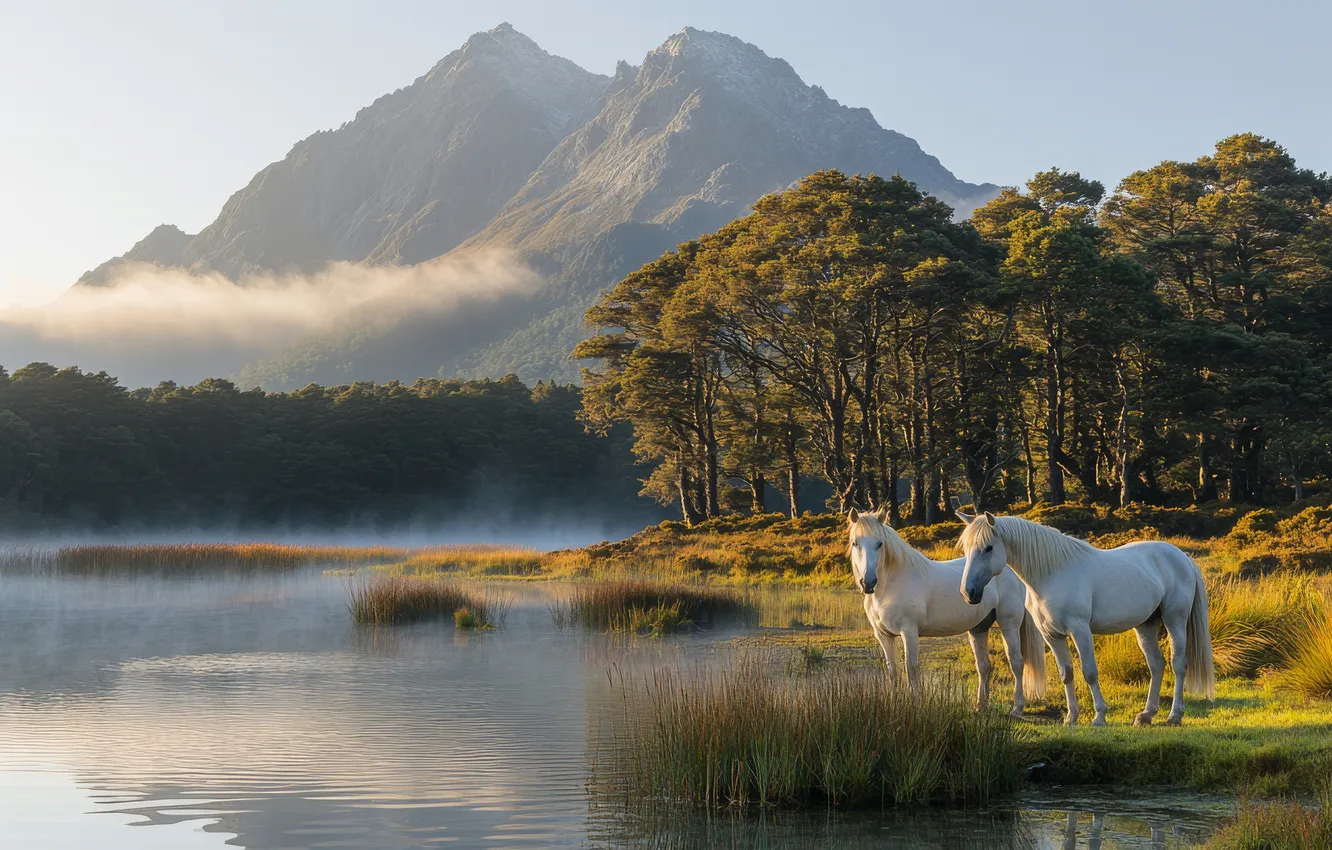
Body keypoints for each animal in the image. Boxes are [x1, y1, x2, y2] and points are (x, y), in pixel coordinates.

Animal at [848, 507, 1045, 717]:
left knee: (1016, 662)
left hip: (1009, 624)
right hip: (979, 628)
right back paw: (980, 706)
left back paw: (1017, 708)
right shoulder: (884, 635)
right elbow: (893, 670)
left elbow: (911, 668)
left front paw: (915, 706)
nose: (868, 582)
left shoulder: (909, 632)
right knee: (984, 666)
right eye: (855, 543)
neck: (891, 586)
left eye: (879, 544)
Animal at [955, 511, 1215, 727]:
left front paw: (1099, 716)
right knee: (1156, 664)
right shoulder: (1052, 635)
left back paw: (1174, 715)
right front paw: (1071, 717)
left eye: (988, 548)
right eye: (966, 549)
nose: (968, 593)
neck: (1053, 573)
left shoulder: (1080, 630)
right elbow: (1066, 674)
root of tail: (1183, 558)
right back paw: (1145, 715)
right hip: (1146, 625)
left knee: (1178, 664)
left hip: (1174, 620)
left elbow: (1089, 671)